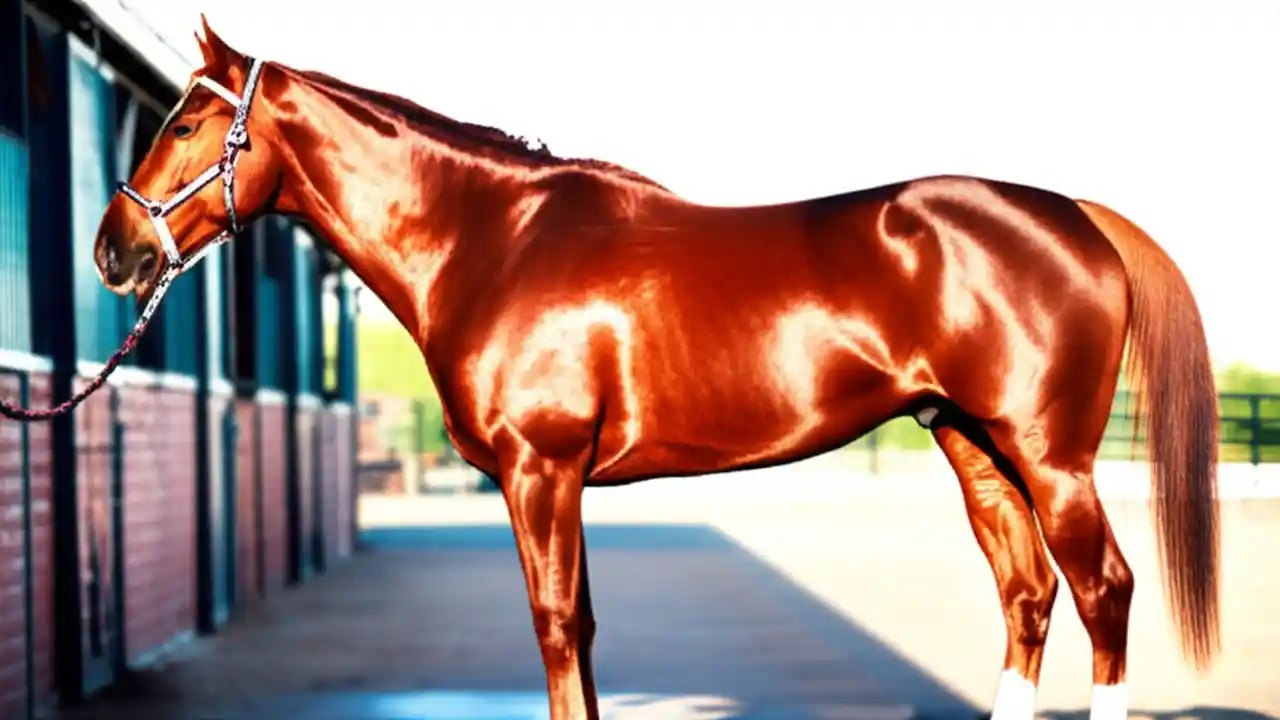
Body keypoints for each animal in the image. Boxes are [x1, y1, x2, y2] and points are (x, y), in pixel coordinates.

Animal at [91, 18, 1220, 720]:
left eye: (184, 121)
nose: (114, 250)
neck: (492, 239)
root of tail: (1075, 216)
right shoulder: (556, 483)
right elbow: (582, 631)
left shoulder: (538, 472)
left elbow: (555, 628)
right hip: (975, 448)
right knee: (1027, 595)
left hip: (1051, 457)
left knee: (1103, 591)